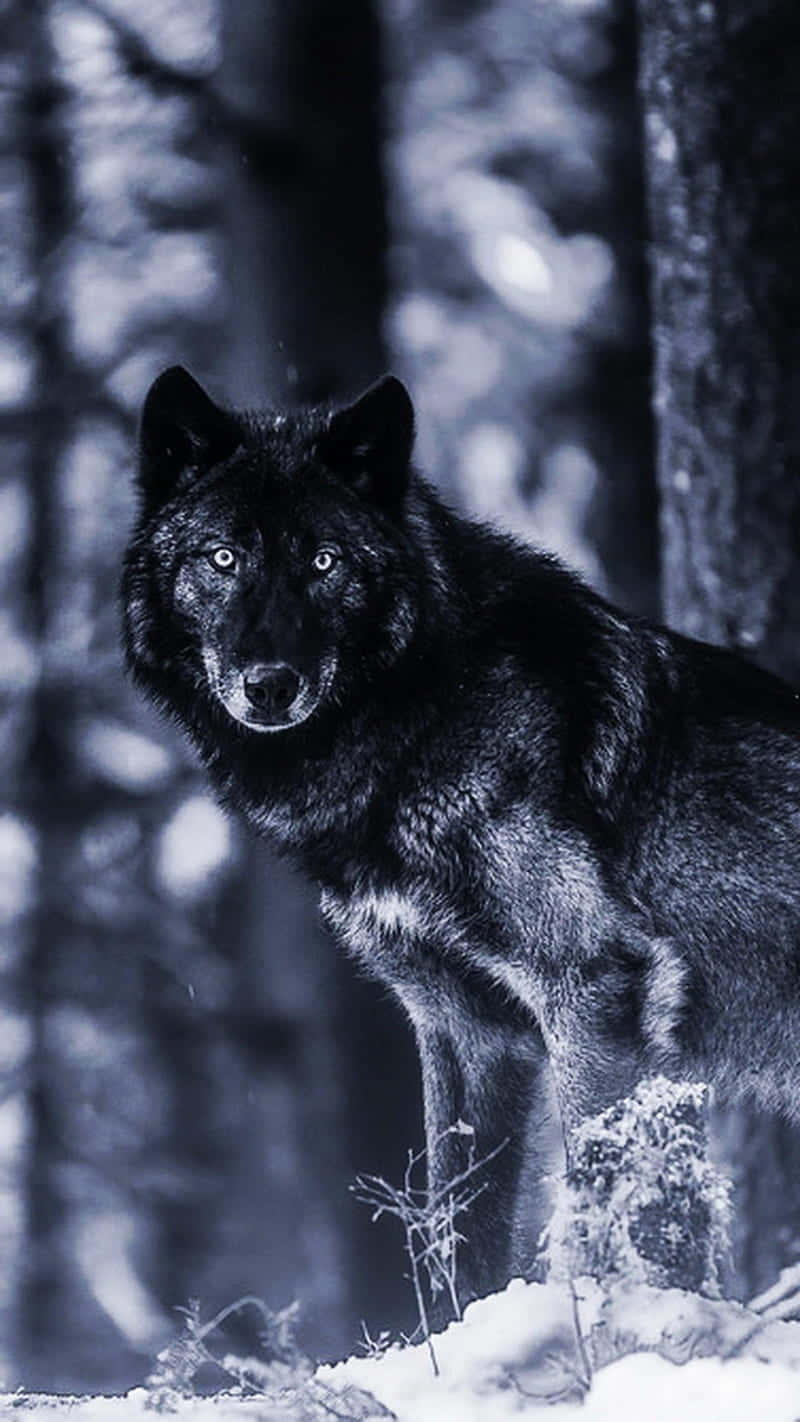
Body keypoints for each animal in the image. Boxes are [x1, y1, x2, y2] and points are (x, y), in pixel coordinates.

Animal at [123, 366, 800, 1303]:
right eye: (223, 558)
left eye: (324, 562)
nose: (270, 685)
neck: (421, 710)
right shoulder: (463, 1027)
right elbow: (454, 1235)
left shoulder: (594, 985)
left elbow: (612, 1198)